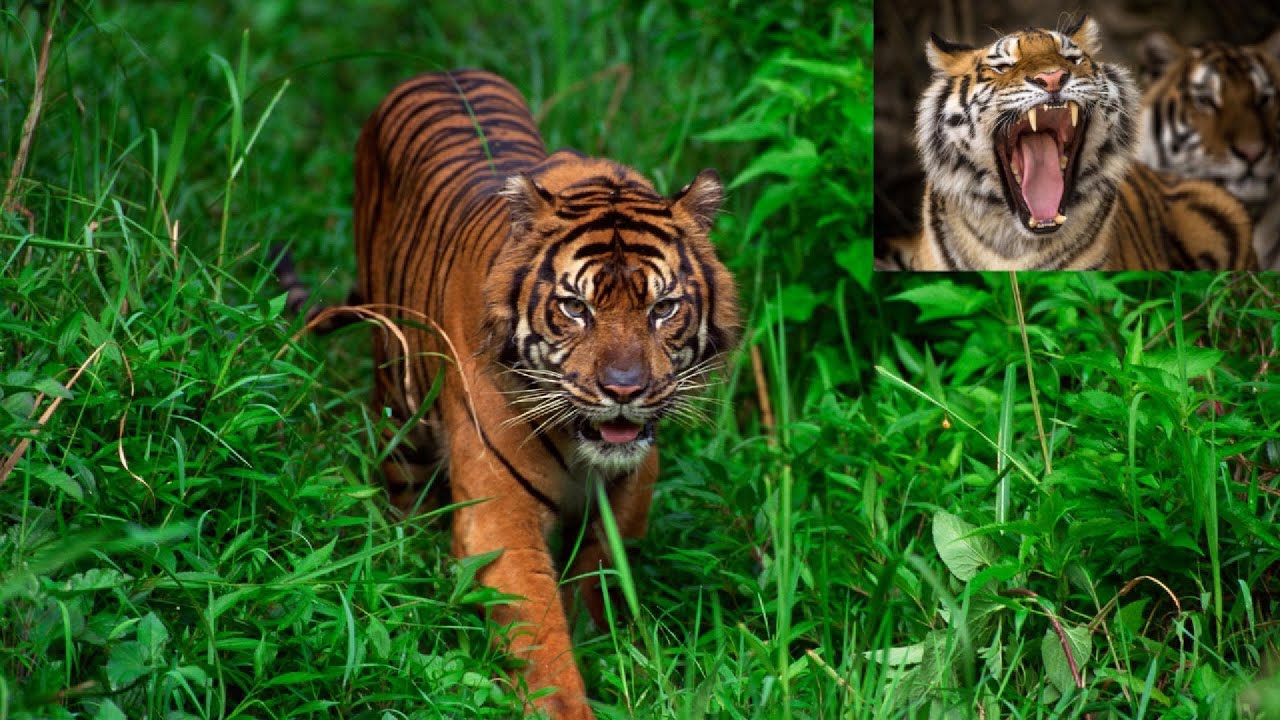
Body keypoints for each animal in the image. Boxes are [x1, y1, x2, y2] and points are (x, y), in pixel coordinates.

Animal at [275, 69, 739, 718]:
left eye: (663, 308)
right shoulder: (499, 516)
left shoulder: (627, 497)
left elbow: (593, 588)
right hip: (398, 401)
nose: (625, 389)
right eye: (576, 308)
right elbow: (540, 641)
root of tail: (437, 71)